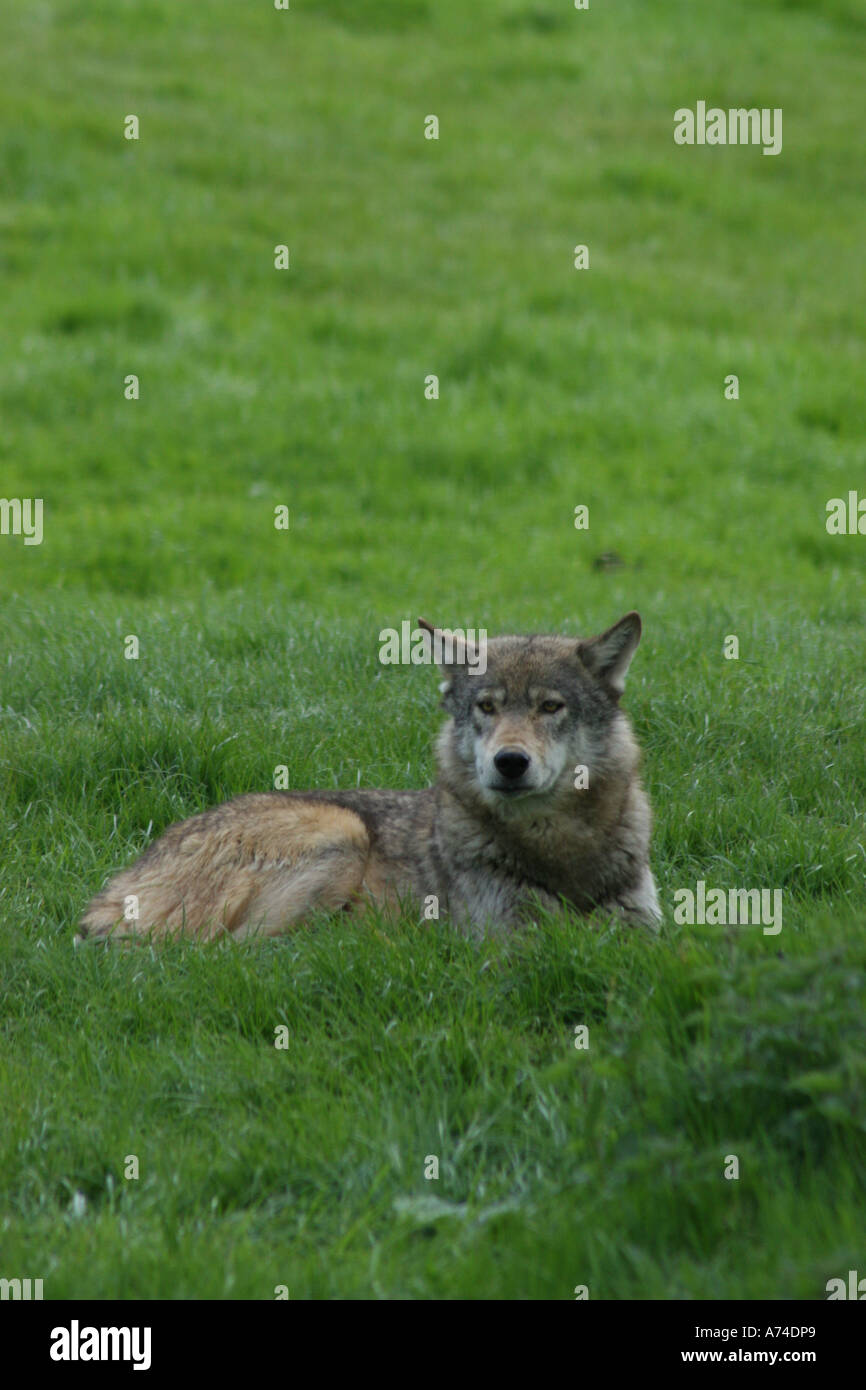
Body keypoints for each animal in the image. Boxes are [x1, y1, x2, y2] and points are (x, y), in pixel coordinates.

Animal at [78, 612, 661, 943]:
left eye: (550, 707)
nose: (509, 762)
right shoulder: (510, 940)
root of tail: (109, 894)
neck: (557, 846)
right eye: (487, 707)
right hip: (342, 834)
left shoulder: (643, 928)